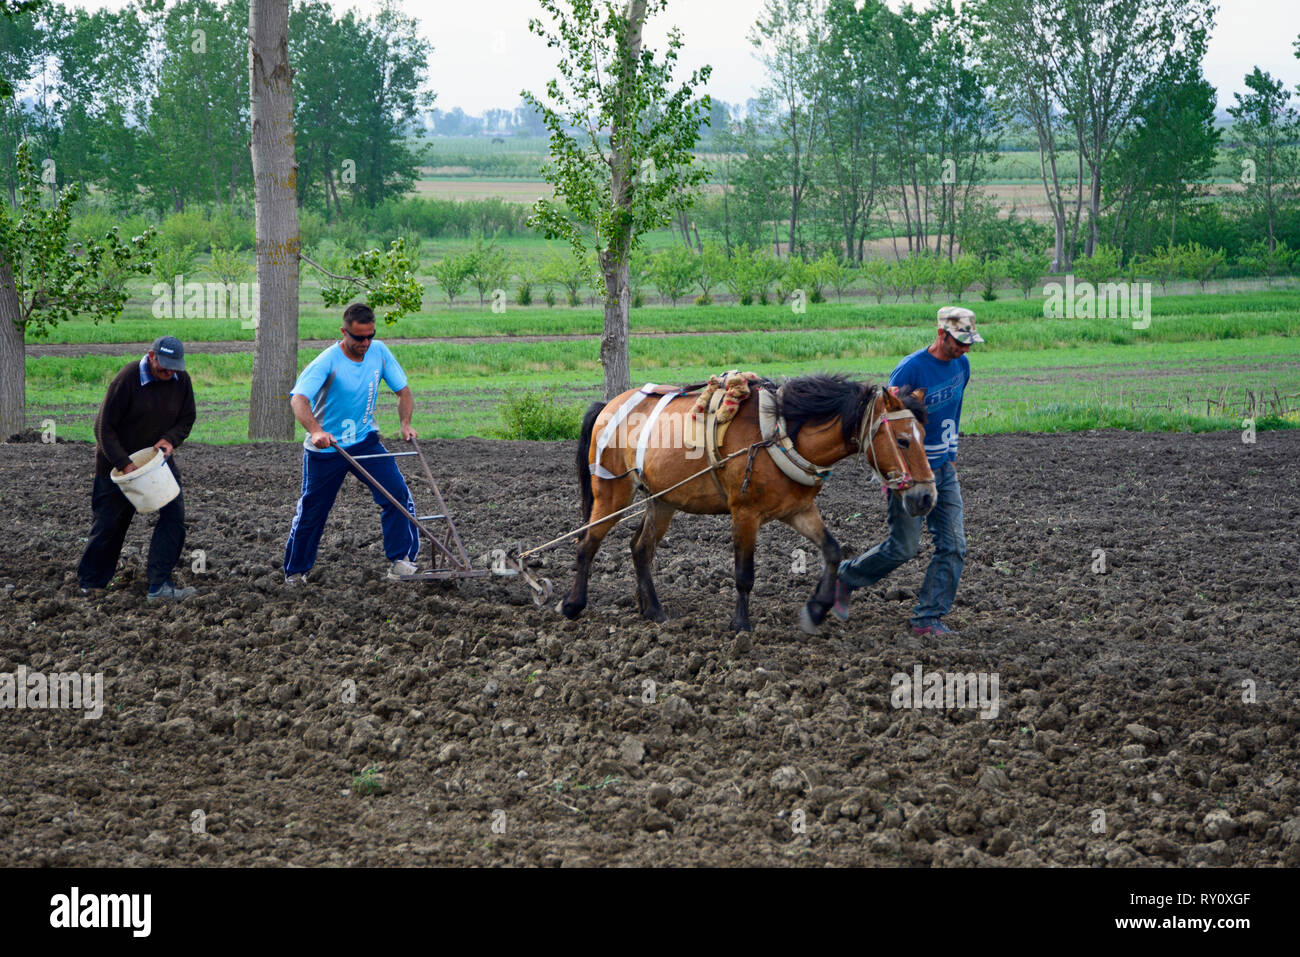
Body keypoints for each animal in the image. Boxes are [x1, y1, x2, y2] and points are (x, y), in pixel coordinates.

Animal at [559, 372, 936, 633]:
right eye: (903, 440)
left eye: (924, 436)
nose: (926, 497)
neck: (780, 434)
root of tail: (608, 406)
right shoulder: (744, 513)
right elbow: (744, 574)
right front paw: (740, 625)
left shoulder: (798, 510)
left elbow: (832, 549)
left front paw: (817, 610)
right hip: (612, 493)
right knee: (586, 544)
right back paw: (573, 604)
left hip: (662, 499)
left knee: (640, 548)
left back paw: (653, 610)